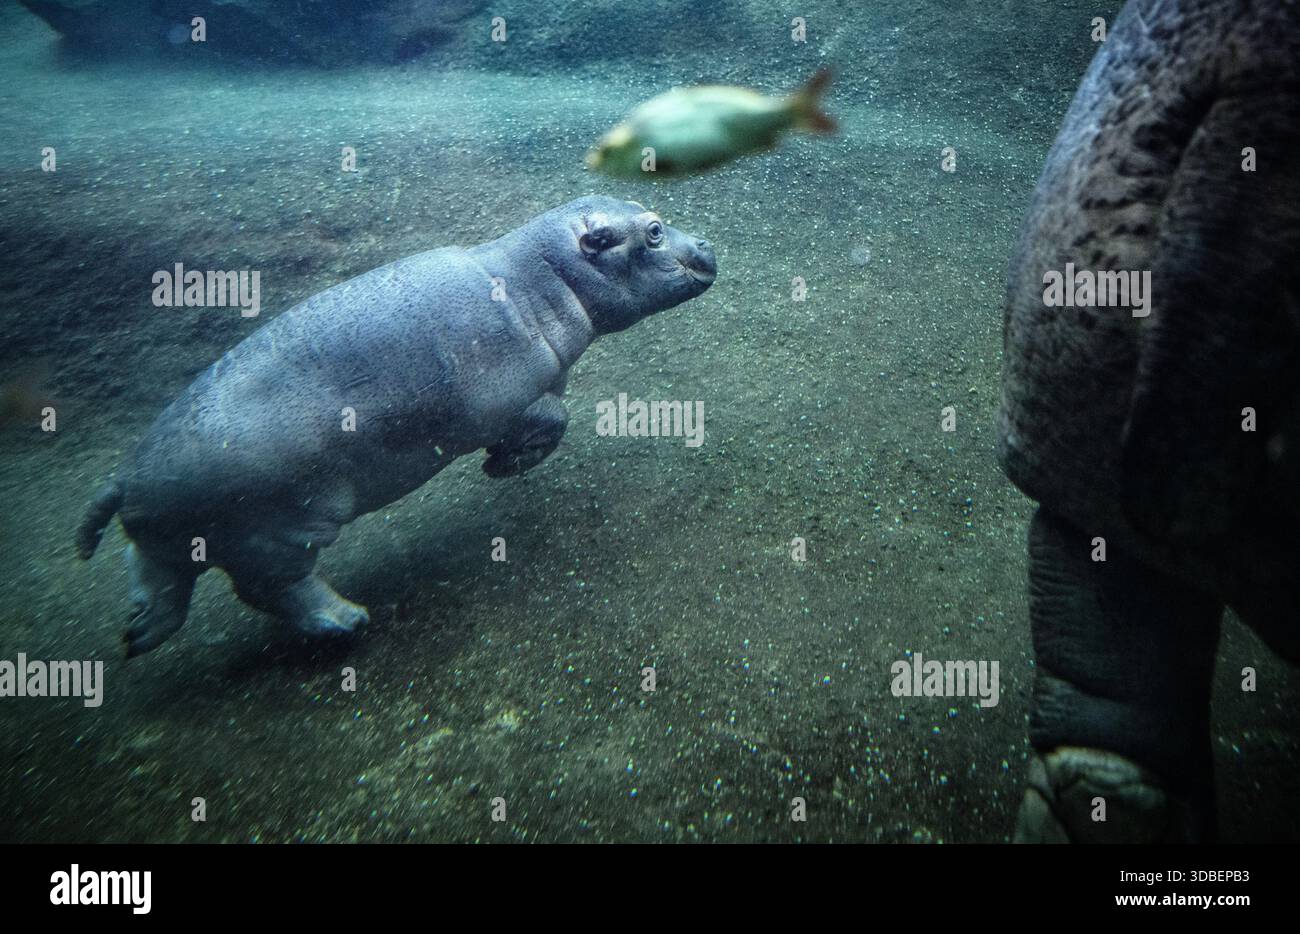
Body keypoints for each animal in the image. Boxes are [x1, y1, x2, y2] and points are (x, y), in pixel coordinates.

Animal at [77, 196, 717, 657]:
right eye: (653, 230)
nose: (708, 243)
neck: (542, 278)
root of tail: (124, 481)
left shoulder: (543, 381)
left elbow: (551, 418)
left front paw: (507, 460)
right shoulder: (506, 397)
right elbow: (555, 418)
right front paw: (500, 466)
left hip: (175, 537)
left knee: (157, 578)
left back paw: (137, 634)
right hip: (281, 530)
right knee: (270, 587)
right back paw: (347, 621)